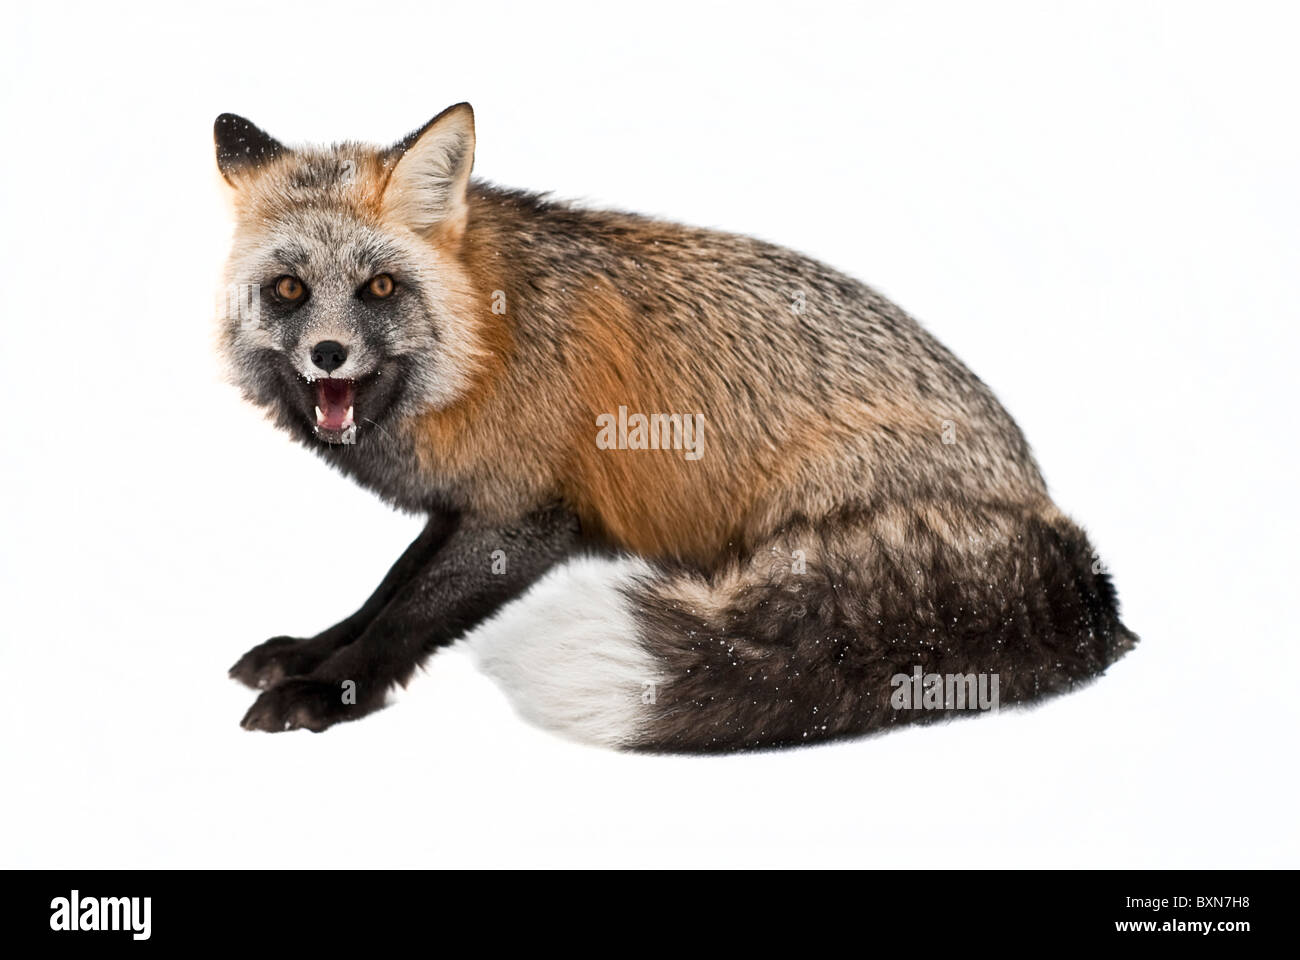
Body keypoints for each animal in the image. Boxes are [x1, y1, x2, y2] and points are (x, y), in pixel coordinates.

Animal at [215, 102, 1136, 751]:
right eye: (290, 290)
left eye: (379, 288)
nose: (328, 354)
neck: (484, 346)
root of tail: (1060, 530)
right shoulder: (467, 505)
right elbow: (383, 594)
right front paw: (309, 652)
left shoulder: (524, 517)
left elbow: (406, 618)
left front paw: (331, 691)